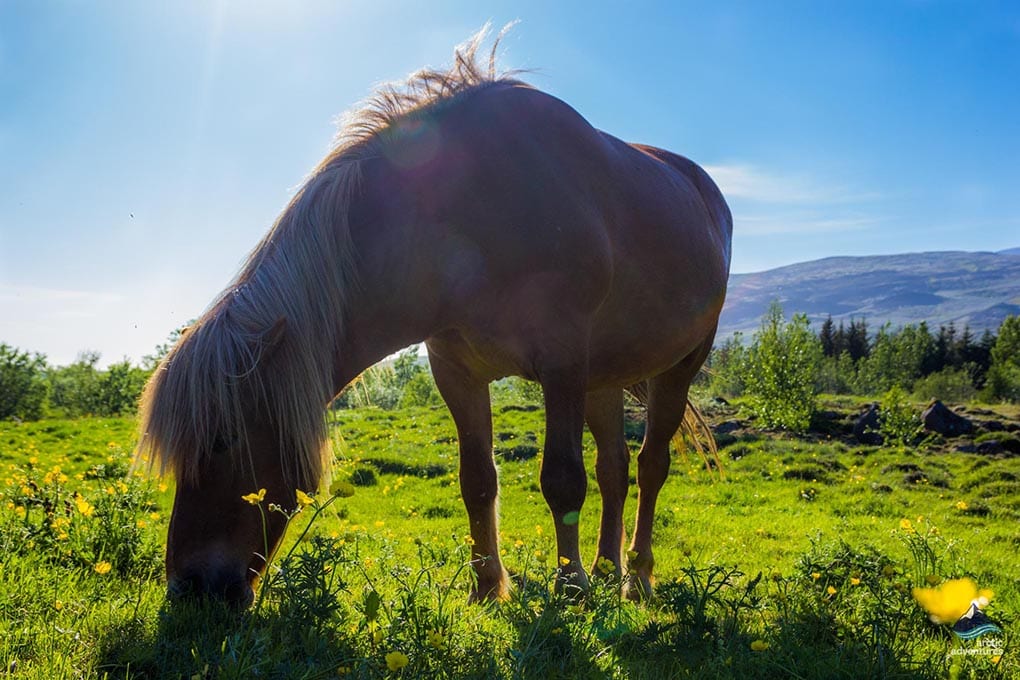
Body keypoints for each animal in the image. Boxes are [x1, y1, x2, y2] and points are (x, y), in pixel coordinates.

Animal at [137, 27, 732, 607]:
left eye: (222, 440)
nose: (190, 589)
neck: (472, 210)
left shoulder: (562, 362)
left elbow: (562, 478)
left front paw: (570, 589)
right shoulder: (457, 370)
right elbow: (477, 480)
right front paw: (488, 589)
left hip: (677, 366)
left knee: (651, 467)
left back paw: (636, 577)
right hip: (602, 378)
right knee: (615, 468)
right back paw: (609, 570)